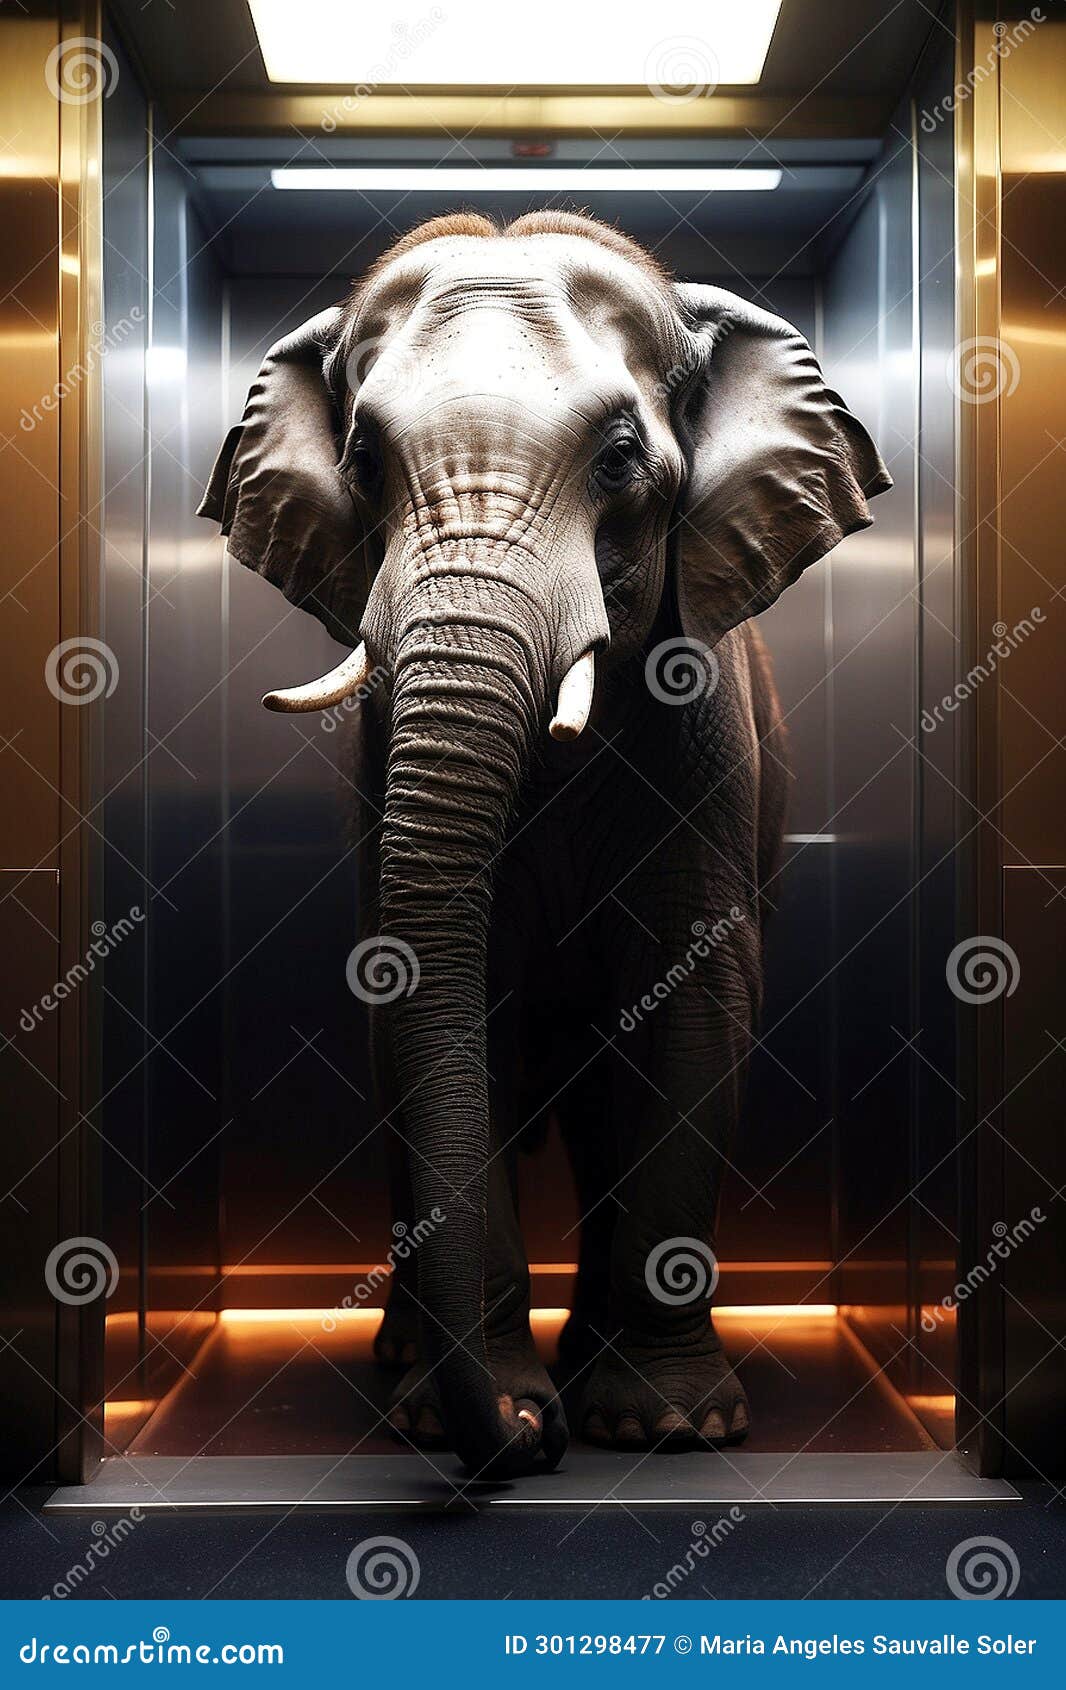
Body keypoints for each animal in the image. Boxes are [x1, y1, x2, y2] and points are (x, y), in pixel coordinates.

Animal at [199, 209, 890, 1479]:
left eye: (619, 460)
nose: (524, 1442)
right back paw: (412, 1358)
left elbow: (696, 995)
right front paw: (458, 1411)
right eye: (363, 463)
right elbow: (440, 998)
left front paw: (668, 1426)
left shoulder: (703, 743)